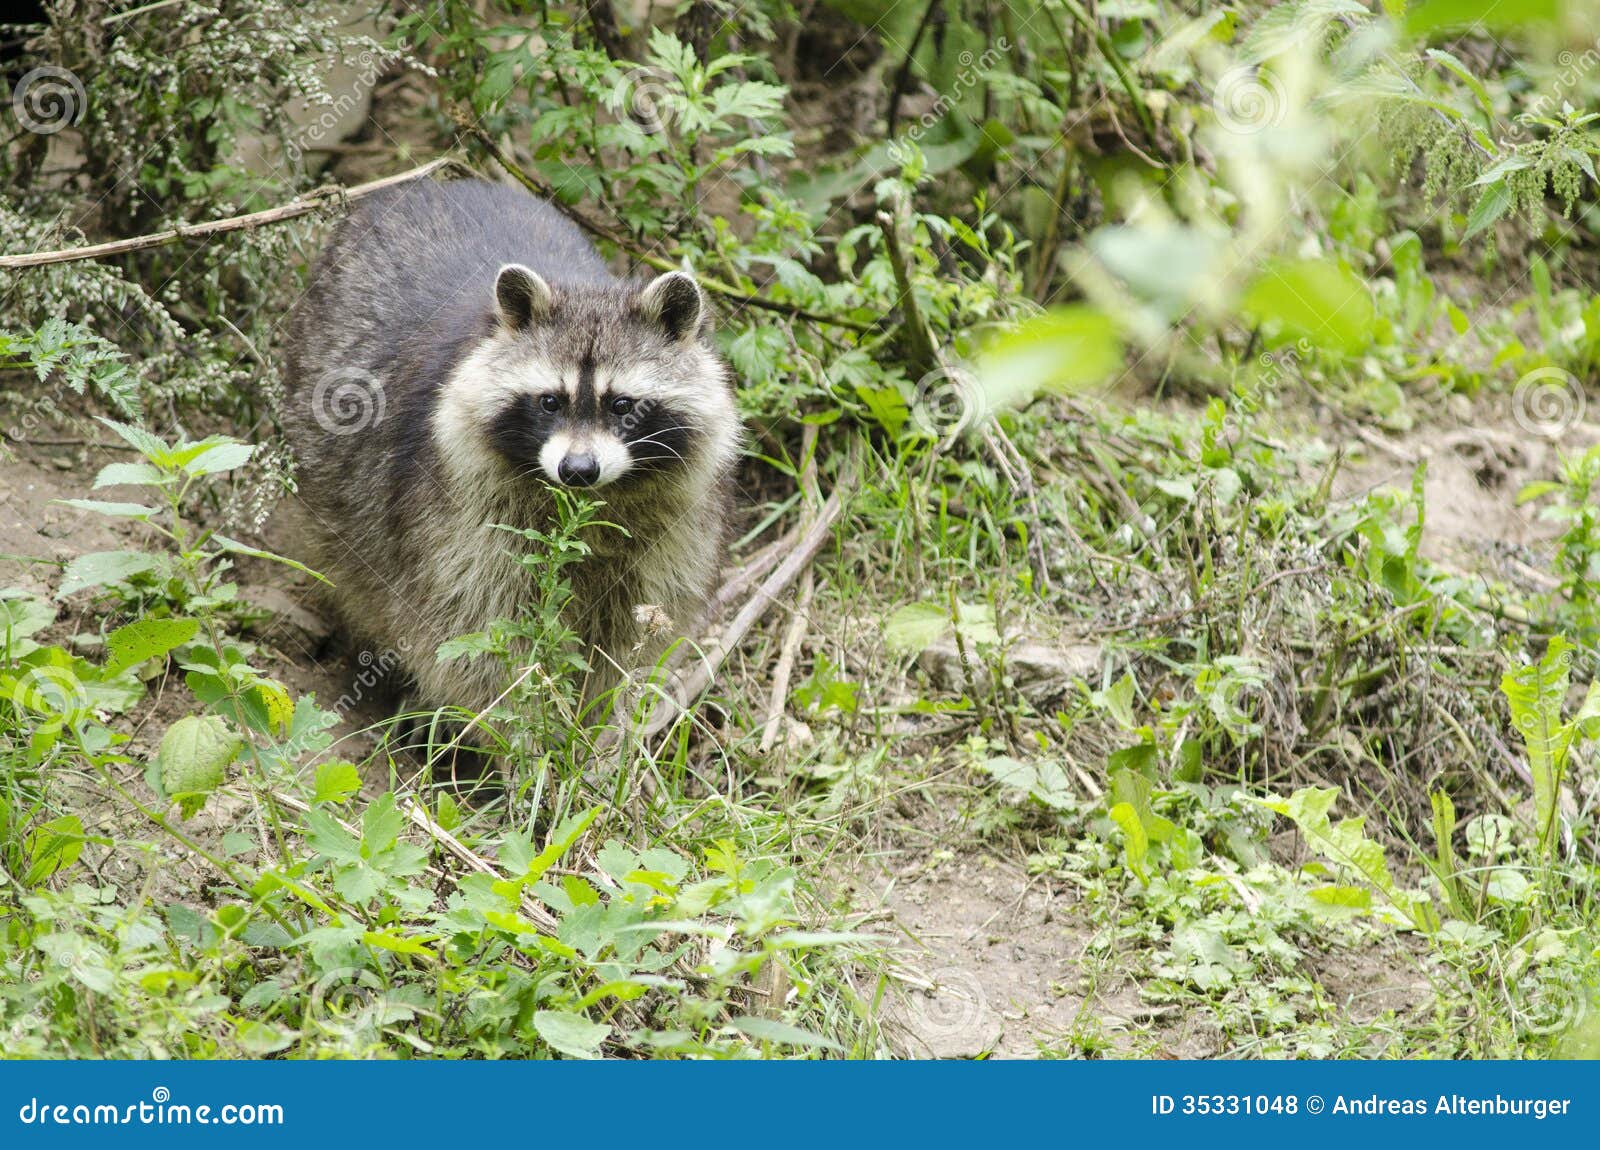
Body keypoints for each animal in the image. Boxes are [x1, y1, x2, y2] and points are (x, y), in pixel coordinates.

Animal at [284, 178, 742, 718]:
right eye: (549, 401)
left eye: (622, 404)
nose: (578, 469)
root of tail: (426, 185)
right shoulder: (456, 513)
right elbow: (474, 627)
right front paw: (520, 723)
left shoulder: (675, 522)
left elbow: (630, 632)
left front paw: (592, 722)